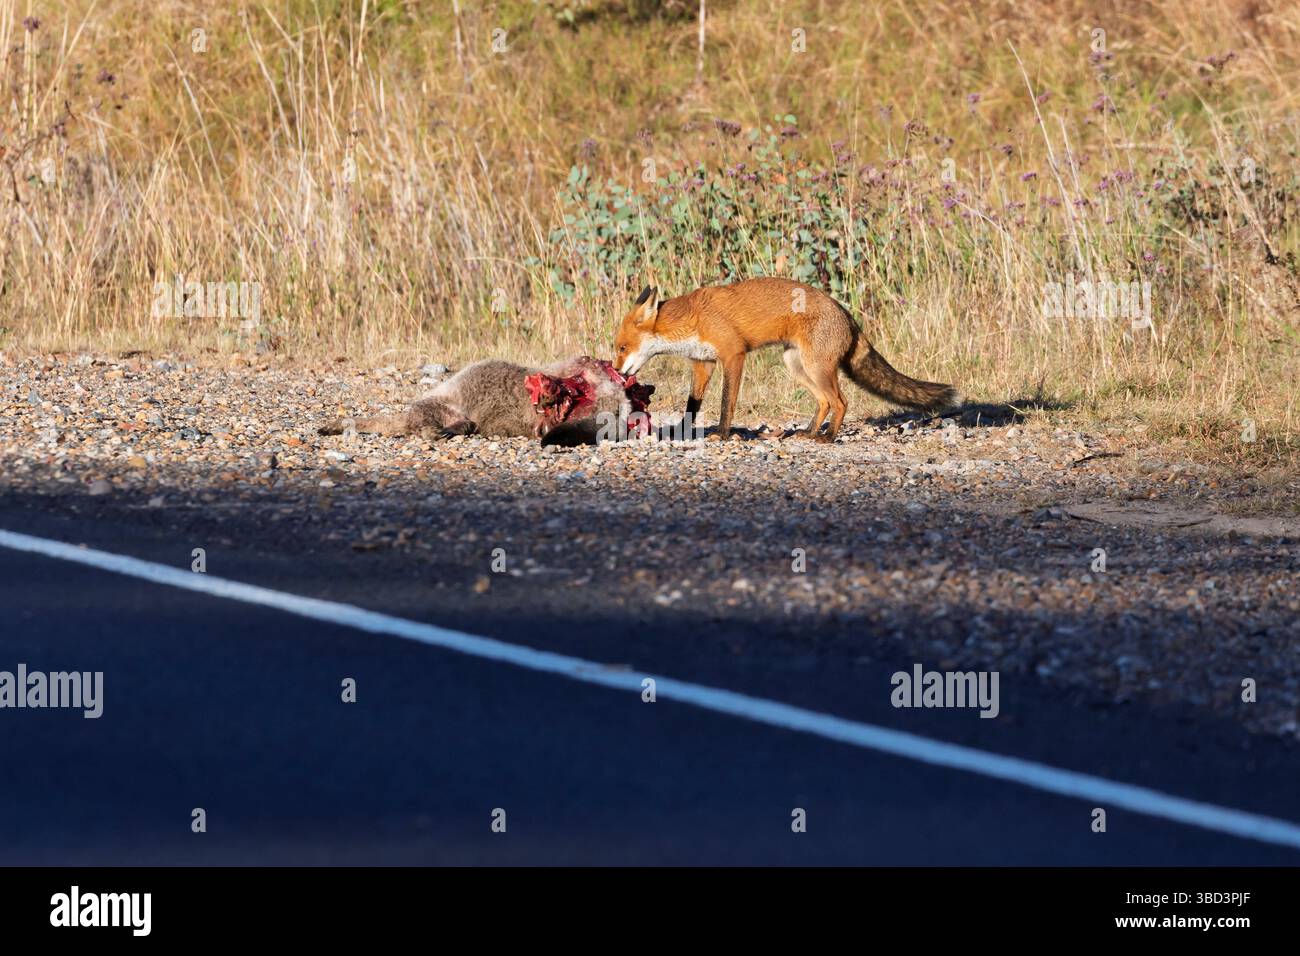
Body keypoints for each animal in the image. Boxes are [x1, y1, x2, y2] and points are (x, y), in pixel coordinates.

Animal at [613, 277, 960, 443]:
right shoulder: (703, 364)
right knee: (824, 401)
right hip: (797, 366)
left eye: (621, 348)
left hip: (816, 368)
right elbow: (692, 406)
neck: (693, 319)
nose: (615, 370)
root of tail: (846, 313)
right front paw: (683, 431)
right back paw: (810, 432)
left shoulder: (733, 355)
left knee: (841, 401)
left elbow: (727, 403)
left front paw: (722, 434)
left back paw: (828, 438)